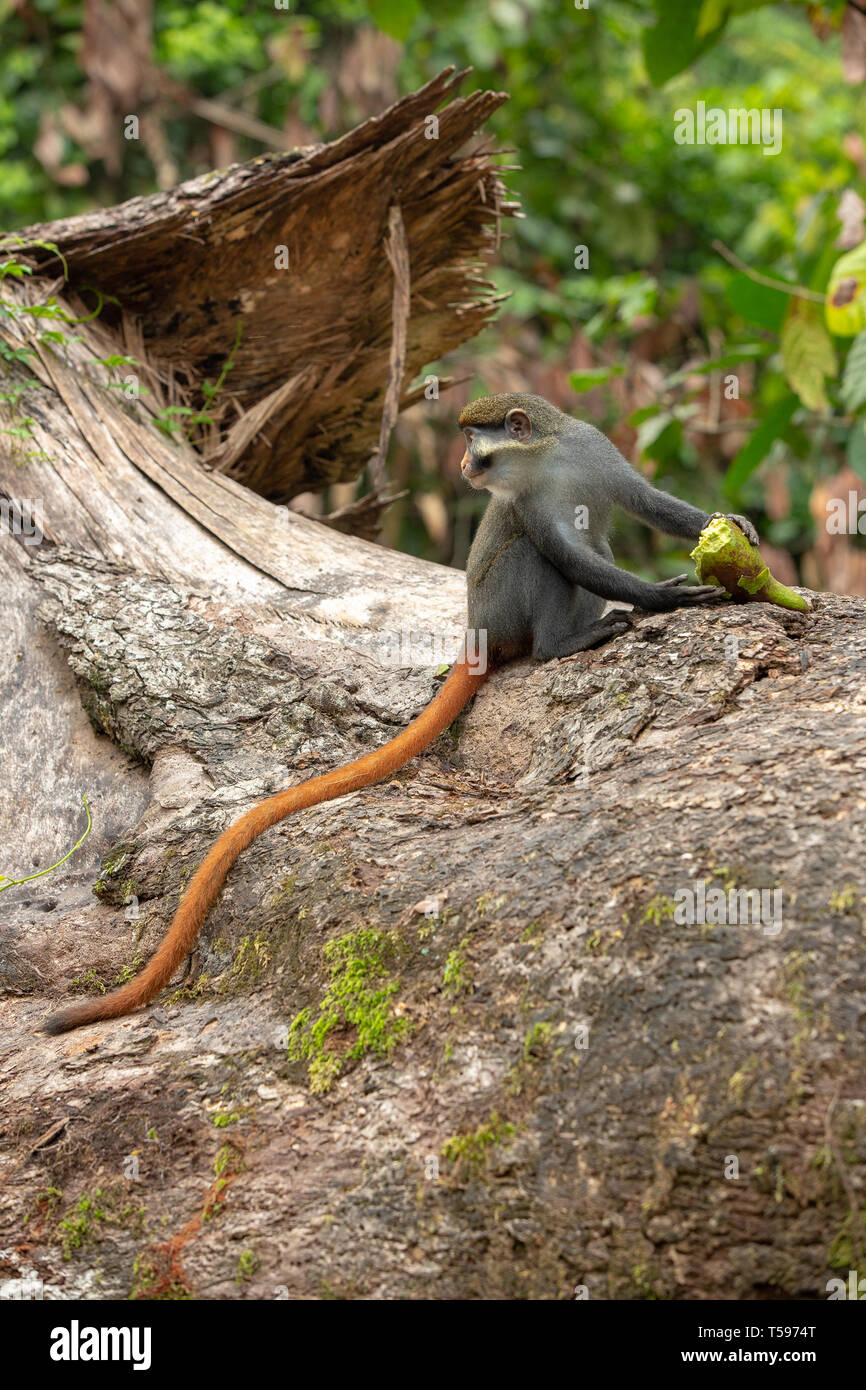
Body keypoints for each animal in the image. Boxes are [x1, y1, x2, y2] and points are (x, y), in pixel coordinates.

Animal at [42, 393, 757, 1034]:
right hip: (505, 608)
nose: (463, 464)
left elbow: (645, 501)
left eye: (475, 442)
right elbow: (558, 549)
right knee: (542, 557)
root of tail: (477, 635)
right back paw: (563, 644)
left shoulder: (591, 450)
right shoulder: (531, 503)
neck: (545, 461)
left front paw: (730, 530)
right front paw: (664, 599)